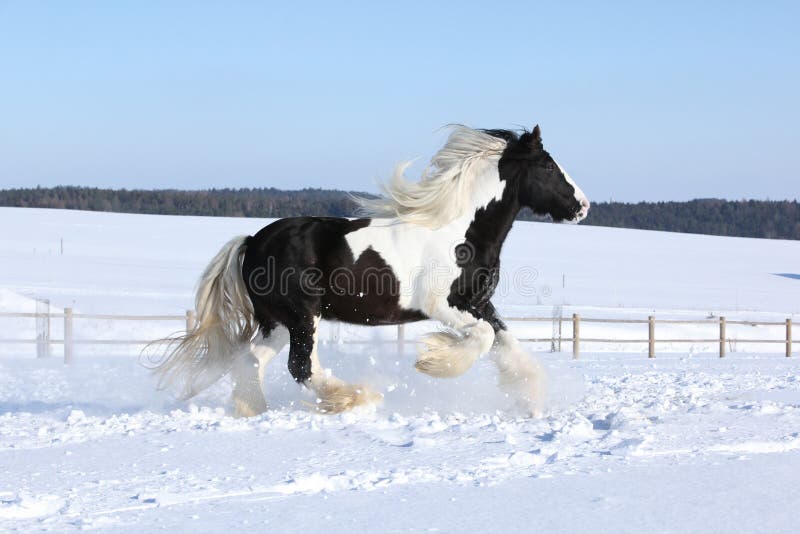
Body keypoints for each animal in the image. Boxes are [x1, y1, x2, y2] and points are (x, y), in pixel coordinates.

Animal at [153, 124, 589, 417]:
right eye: (548, 167)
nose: (582, 207)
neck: (460, 230)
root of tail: (252, 241)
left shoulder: (480, 303)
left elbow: (506, 344)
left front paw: (531, 400)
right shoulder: (444, 305)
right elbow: (482, 338)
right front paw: (432, 361)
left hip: (276, 323)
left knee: (252, 362)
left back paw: (256, 410)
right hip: (302, 317)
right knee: (301, 366)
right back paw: (356, 397)